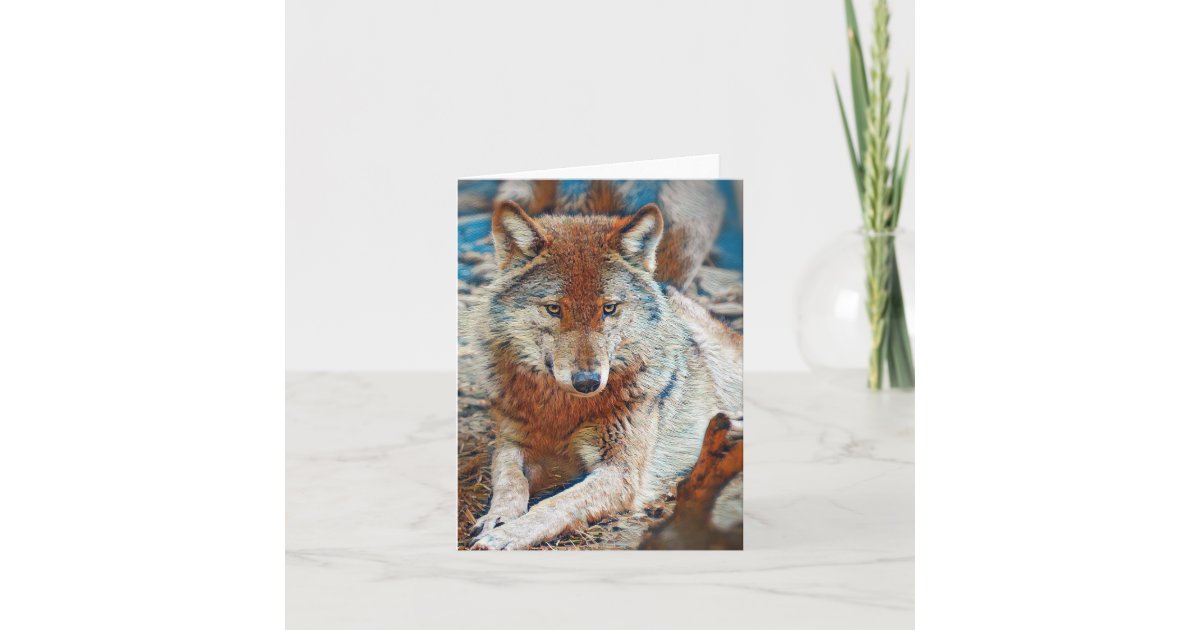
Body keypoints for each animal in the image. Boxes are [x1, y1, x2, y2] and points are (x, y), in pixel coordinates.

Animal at [466, 181, 742, 550]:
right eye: (554, 309)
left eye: (609, 308)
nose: (587, 381)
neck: (563, 410)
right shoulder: (512, 444)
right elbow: (510, 482)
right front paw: (496, 518)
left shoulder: (619, 472)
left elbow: (555, 505)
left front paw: (505, 536)